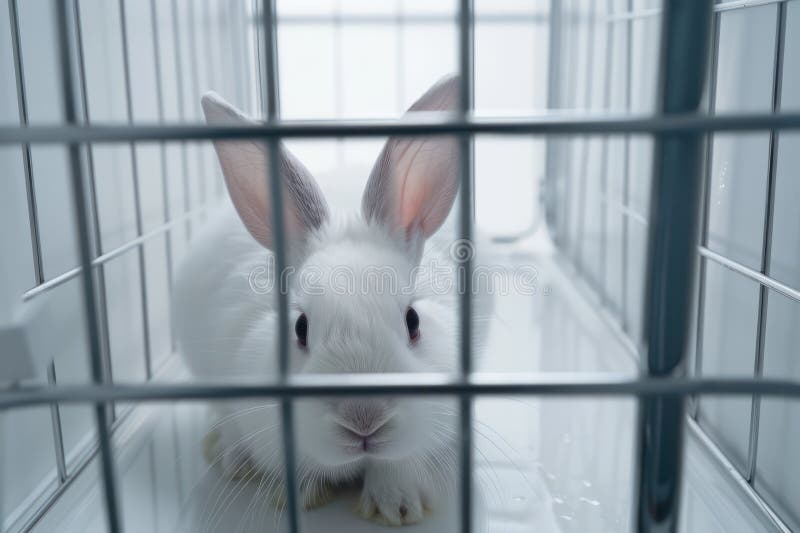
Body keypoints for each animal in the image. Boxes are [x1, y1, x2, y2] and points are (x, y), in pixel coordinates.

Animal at [173, 75, 492, 527]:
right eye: (300, 327)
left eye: (413, 321)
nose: (364, 419)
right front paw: (298, 494)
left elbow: (398, 464)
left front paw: (397, 505)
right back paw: (229, 455)